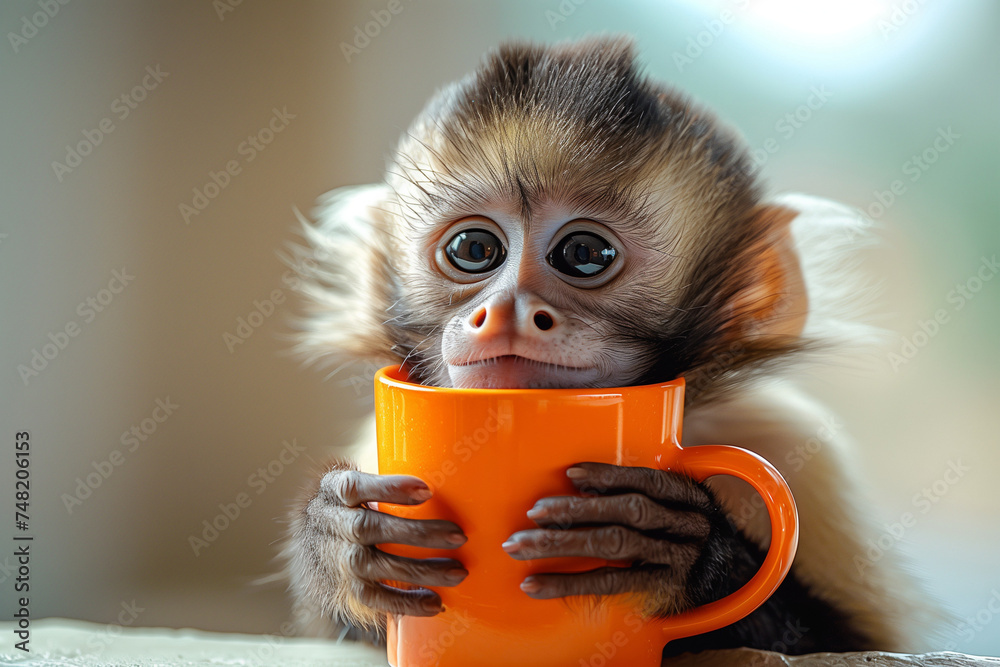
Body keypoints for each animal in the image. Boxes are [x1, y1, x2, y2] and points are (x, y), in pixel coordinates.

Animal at [283, 37, 939, 659]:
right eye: (474, 249)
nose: (509, 313)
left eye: (584, 254)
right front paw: (338, 538)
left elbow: (850, 643)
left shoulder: (792, 439)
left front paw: (675, 545)